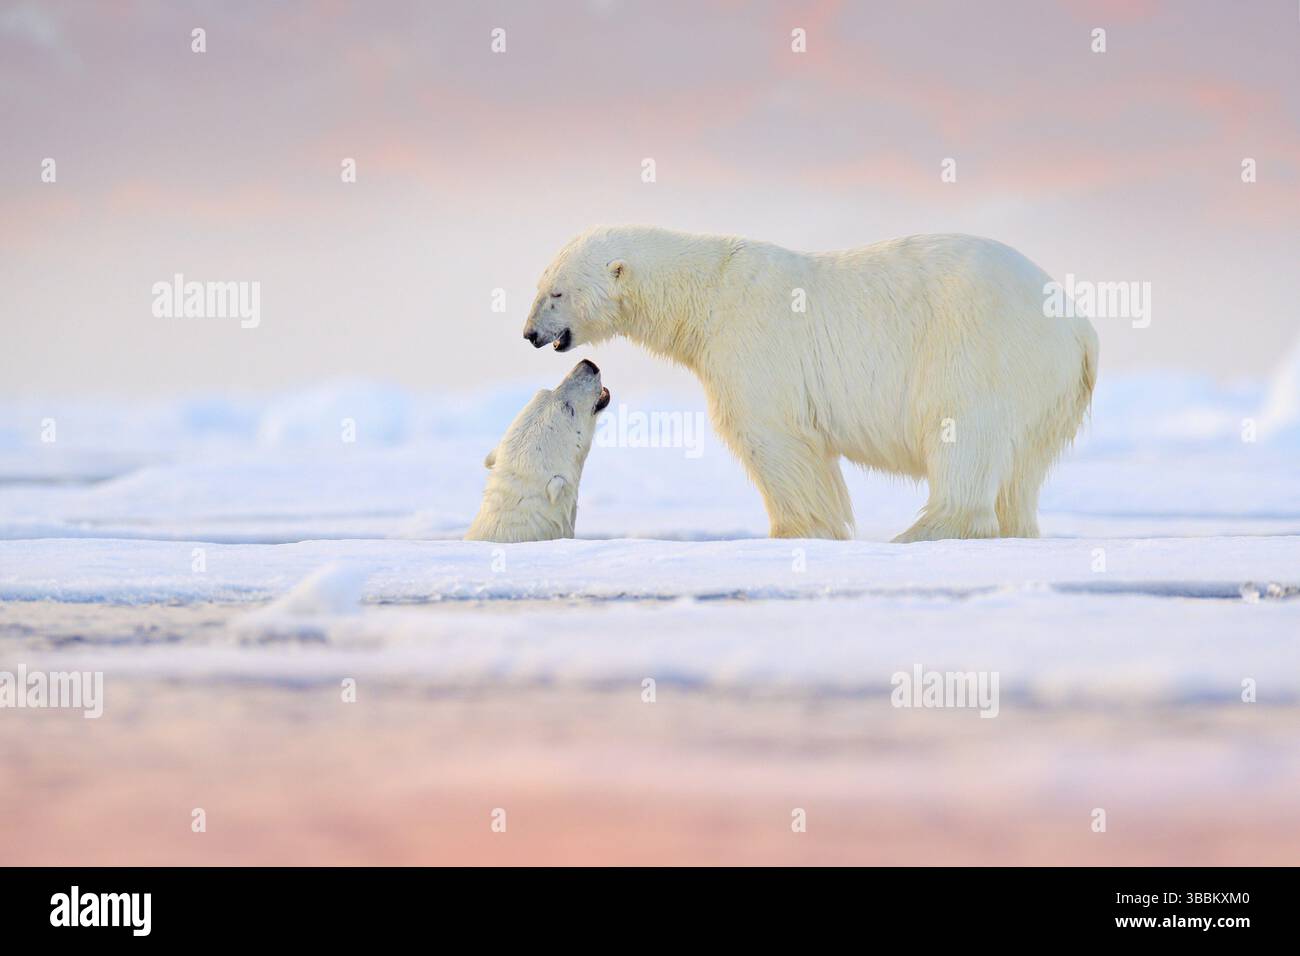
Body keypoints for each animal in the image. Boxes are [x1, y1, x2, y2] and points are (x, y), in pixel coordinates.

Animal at [521, 226, 1098, 542]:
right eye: (541, 286)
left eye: (556, 293)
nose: (530, 334)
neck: (706, 292)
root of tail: (1078, 327)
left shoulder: (751, 340)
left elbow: (772, 437)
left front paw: (798, 530)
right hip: (1050, 392)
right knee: (1021, 470)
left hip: (981, 348)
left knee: (962, 431)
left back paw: (920, 531)